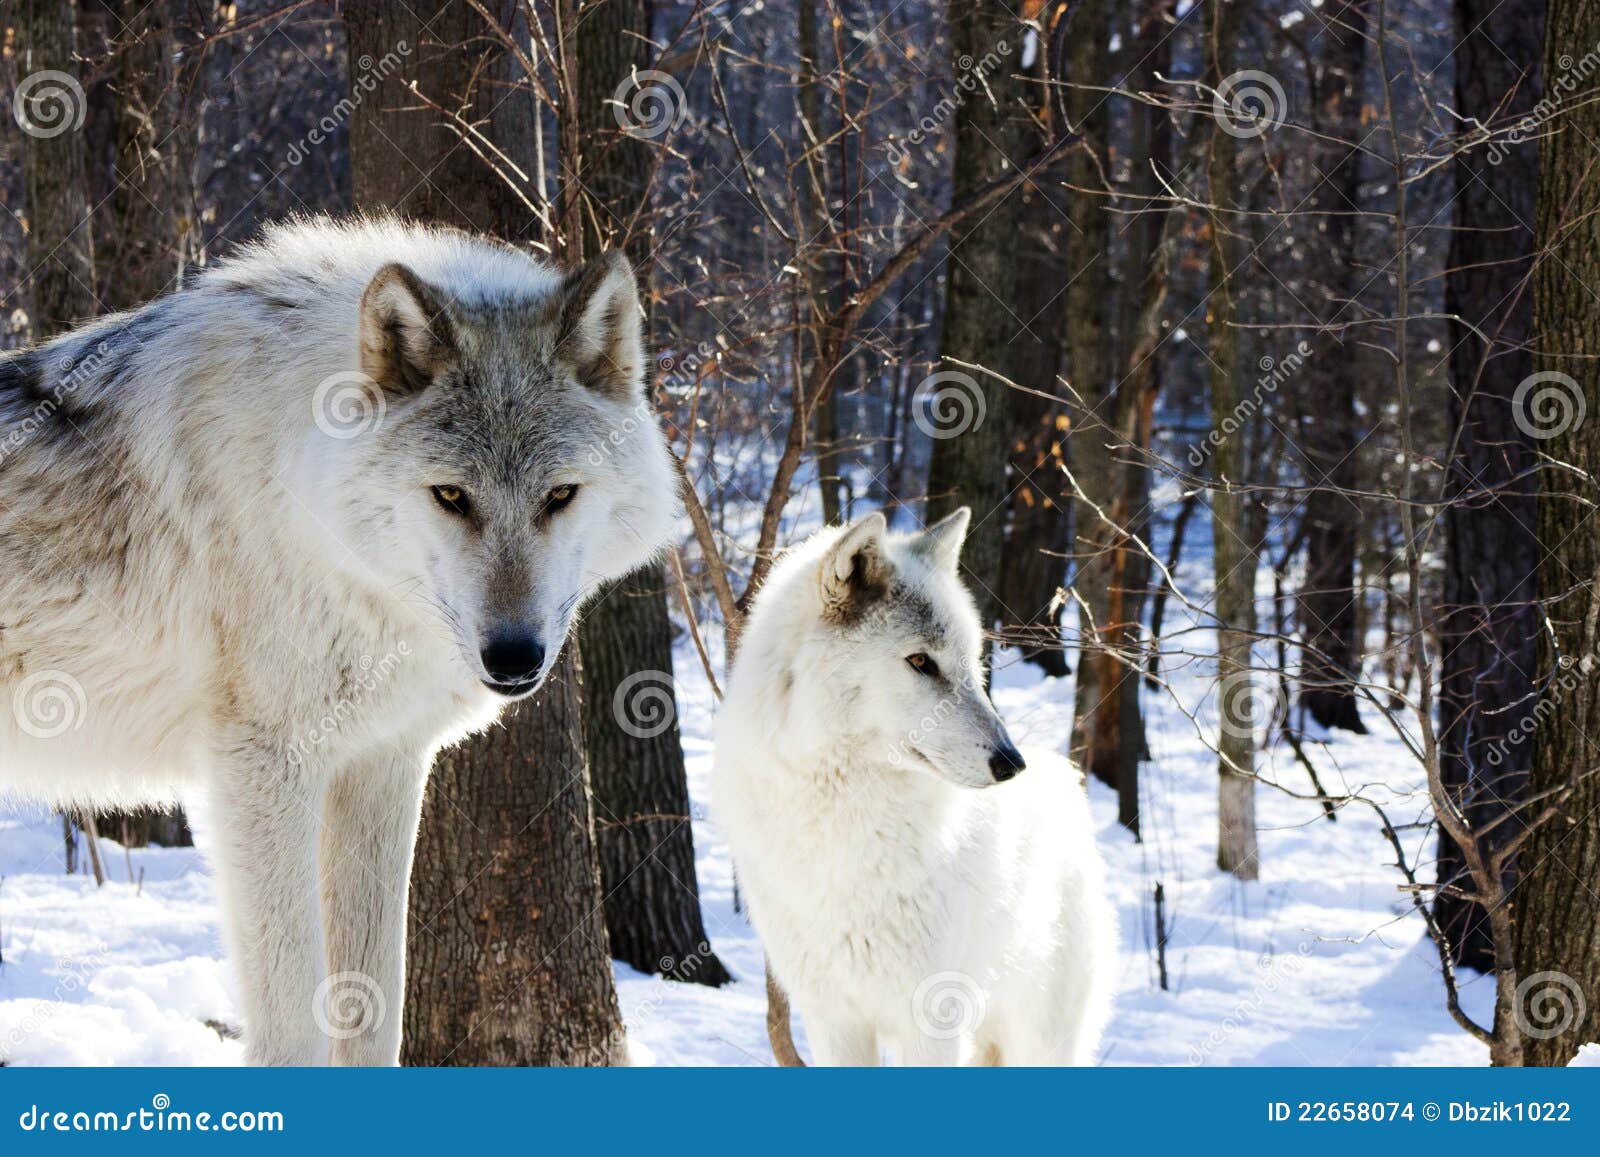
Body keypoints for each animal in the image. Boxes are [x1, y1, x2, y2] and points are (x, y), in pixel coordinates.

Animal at [0, 217, 676, 1065]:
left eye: (560, 495)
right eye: (450, 495)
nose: (514, 656)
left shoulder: (381, 765)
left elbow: (373, 1013)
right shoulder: (262, 771)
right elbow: (293, 1032)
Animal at [713, 509, 1116, 1065]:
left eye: (972, 662)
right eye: (921, 662)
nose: (1011, 763)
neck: (845, 821)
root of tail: (1067, 778)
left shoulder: (933, 1018)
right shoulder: (832, 1020)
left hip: (1040, 1038)